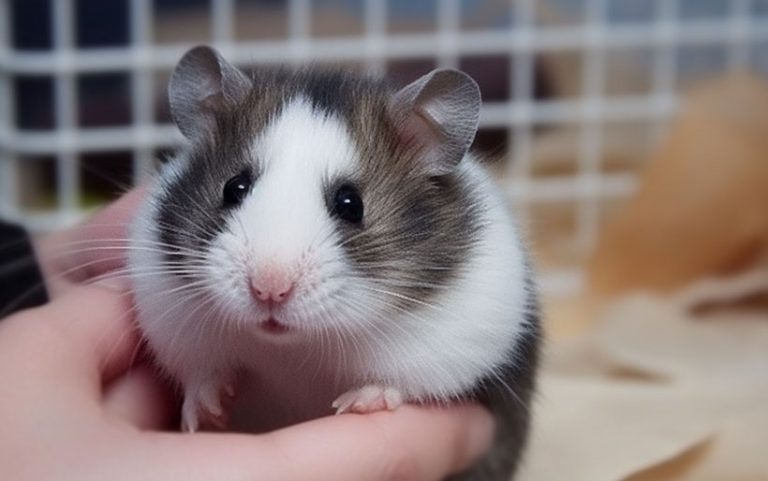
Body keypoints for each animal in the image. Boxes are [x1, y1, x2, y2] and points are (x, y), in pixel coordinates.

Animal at [129, 45, 540, 481]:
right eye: (234, 188)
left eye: (350, 204)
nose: (268, 290)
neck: (294, 346)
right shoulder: (175, 324)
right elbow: (201, 375)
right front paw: (204, 414)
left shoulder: (456, 344)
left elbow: (404, 384)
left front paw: (358, 402)